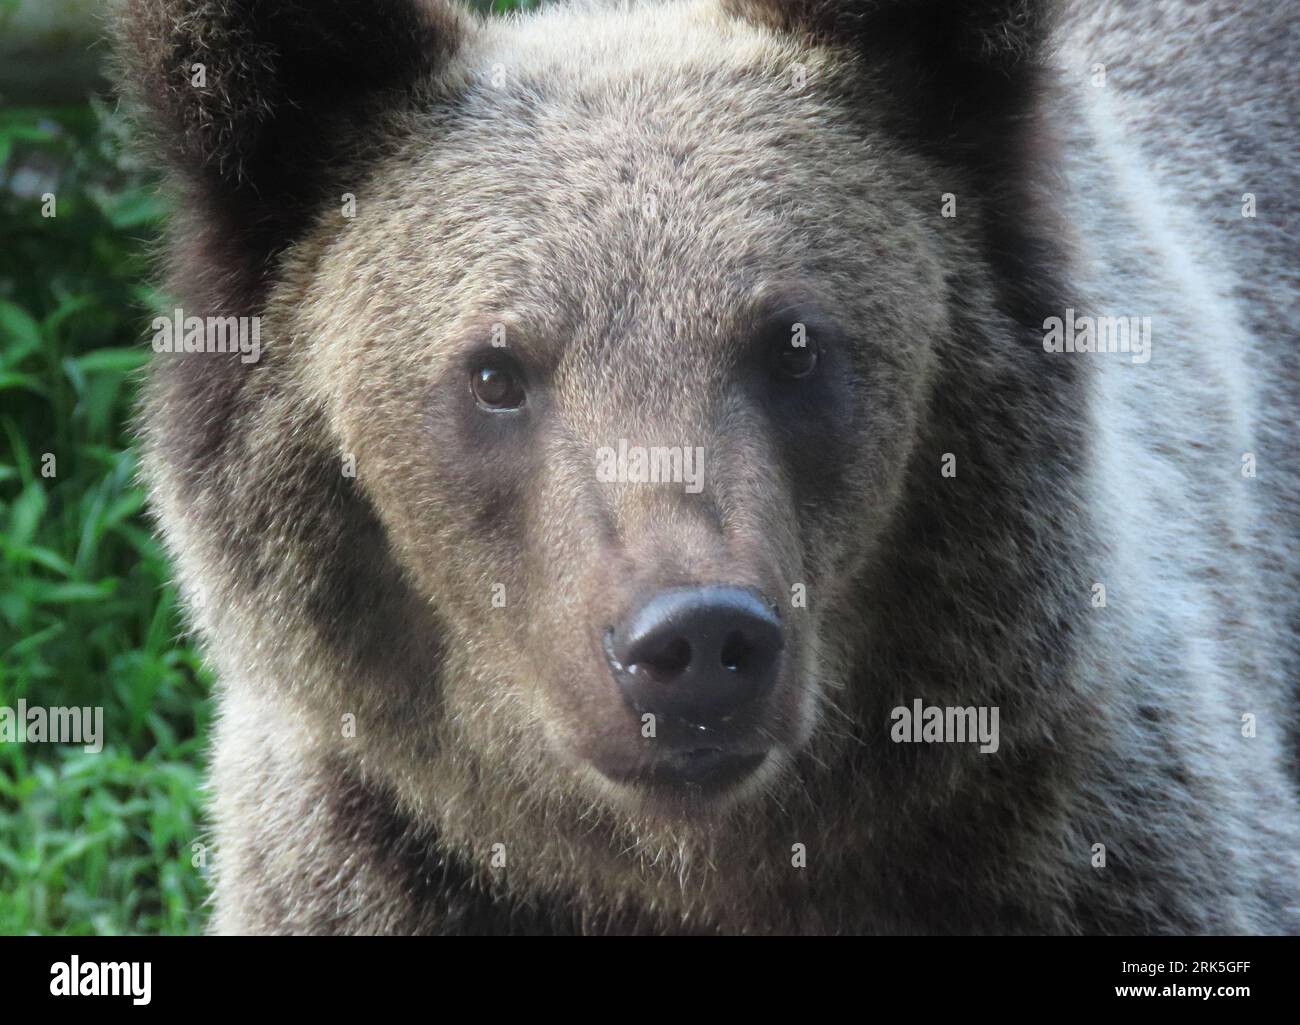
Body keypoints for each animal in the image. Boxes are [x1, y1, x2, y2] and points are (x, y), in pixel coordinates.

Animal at [114, 0, 1300, 934]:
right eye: (495, 371)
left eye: (793, 343)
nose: (695, 639)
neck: (697, 866)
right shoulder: (373, 862)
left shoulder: (1072, 835)